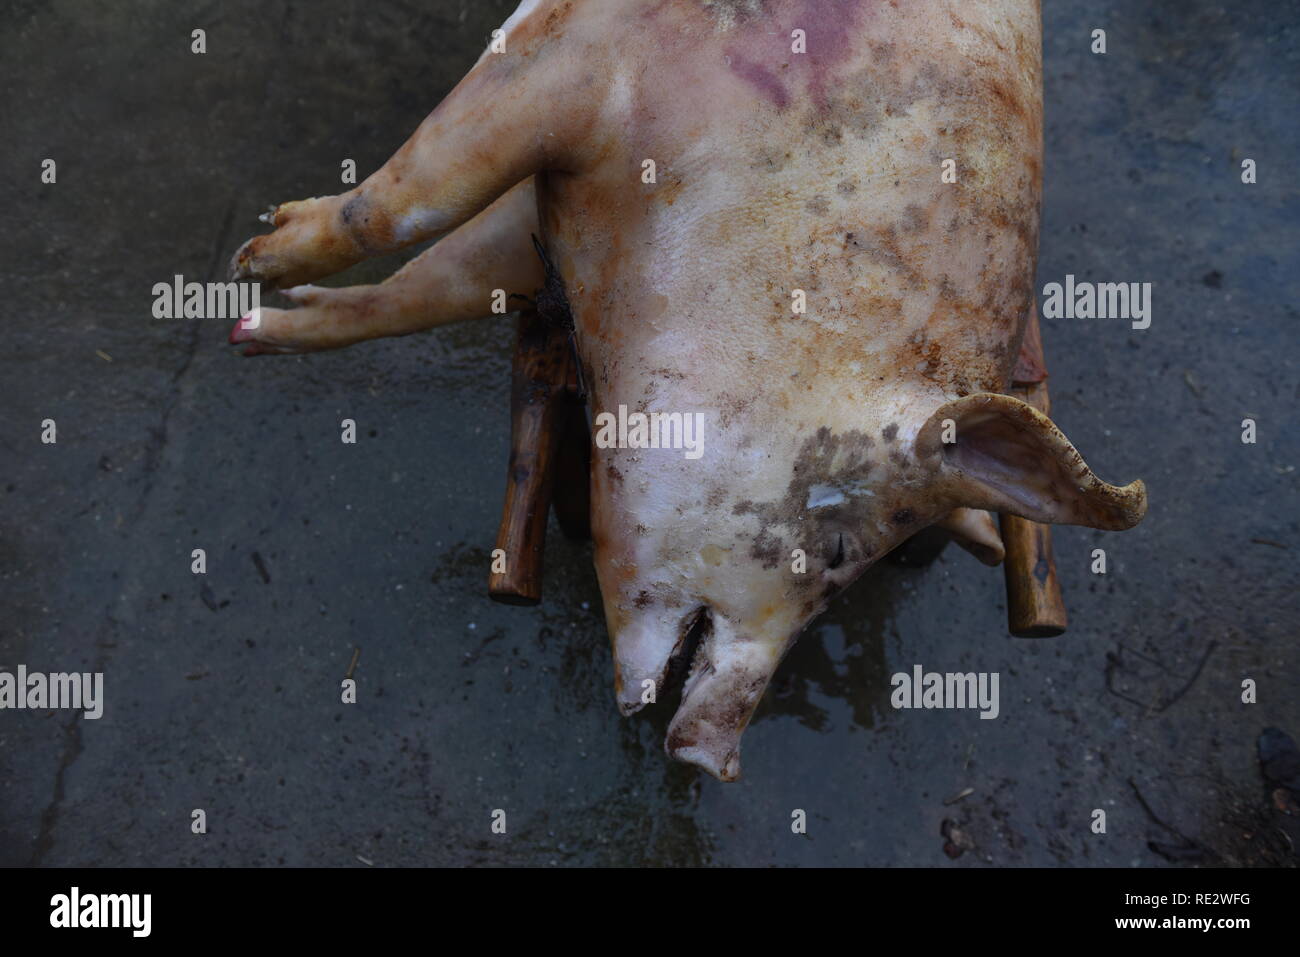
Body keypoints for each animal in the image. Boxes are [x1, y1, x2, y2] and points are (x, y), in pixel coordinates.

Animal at [229, 0, 1147, 780]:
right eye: (838, 549)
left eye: (856, 579)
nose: (717, 759)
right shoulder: (582, 61)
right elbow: (399, 208)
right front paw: (257, 255)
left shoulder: (542, 231)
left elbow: (422, 283)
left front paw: (257, 321)